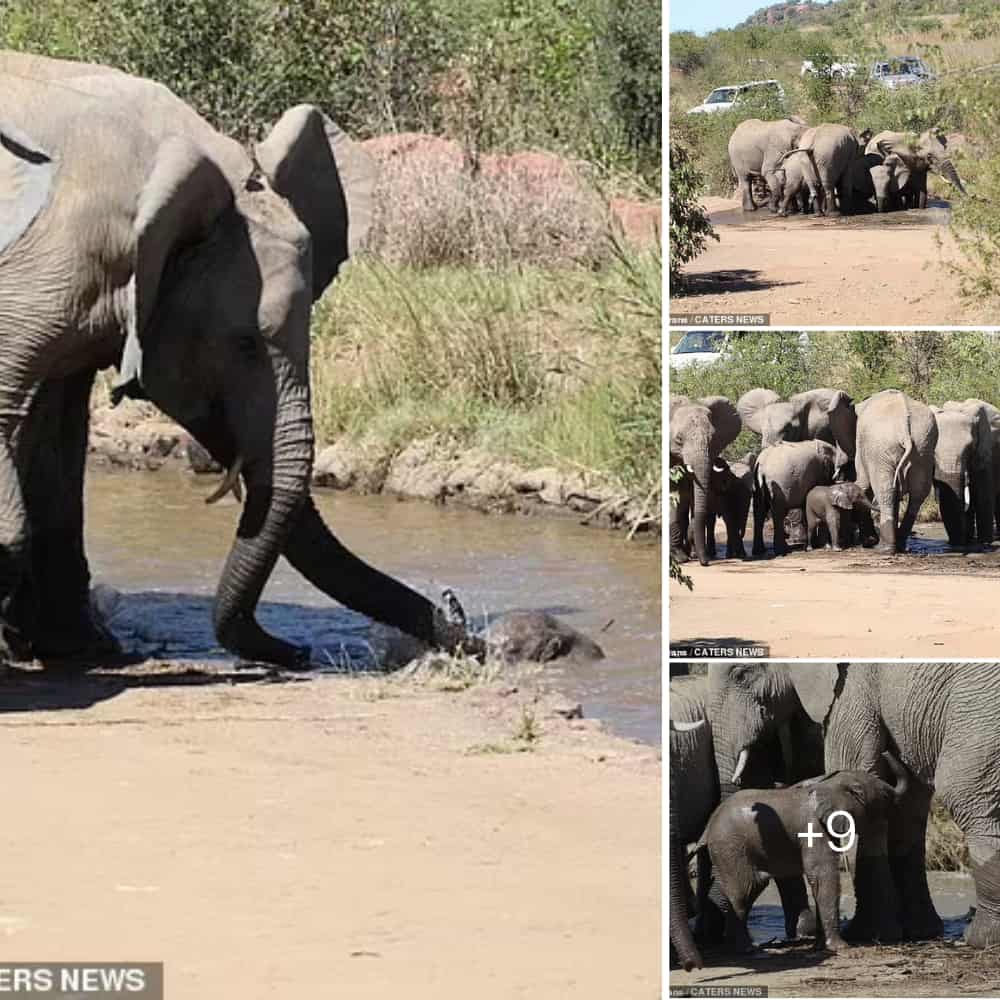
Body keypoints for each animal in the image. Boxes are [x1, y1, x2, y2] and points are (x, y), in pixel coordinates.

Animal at [669, 396, 742, 566]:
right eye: (679, 439)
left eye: (713, 439)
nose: (706, 563)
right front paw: (679, 559)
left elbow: (684, 493)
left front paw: (681, 557)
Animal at [705, 752, 910, 953]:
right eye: (885, 796)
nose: (885, 753)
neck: (830, 784)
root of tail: (710, 824)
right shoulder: (814, 829)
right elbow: (823, 875)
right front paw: (840, 947)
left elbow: (819, 880)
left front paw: (819, 947)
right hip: (730, 846)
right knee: (743, 889)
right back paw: (747, 949)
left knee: (753, 886)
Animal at [851, 389, 938, 553]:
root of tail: (904, 429)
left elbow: (863, 484)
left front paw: (868, 542)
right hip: (924, 448)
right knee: (918, 493)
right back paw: (899, 545)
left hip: (881, 449)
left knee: (885, 491)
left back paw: (885, 548)